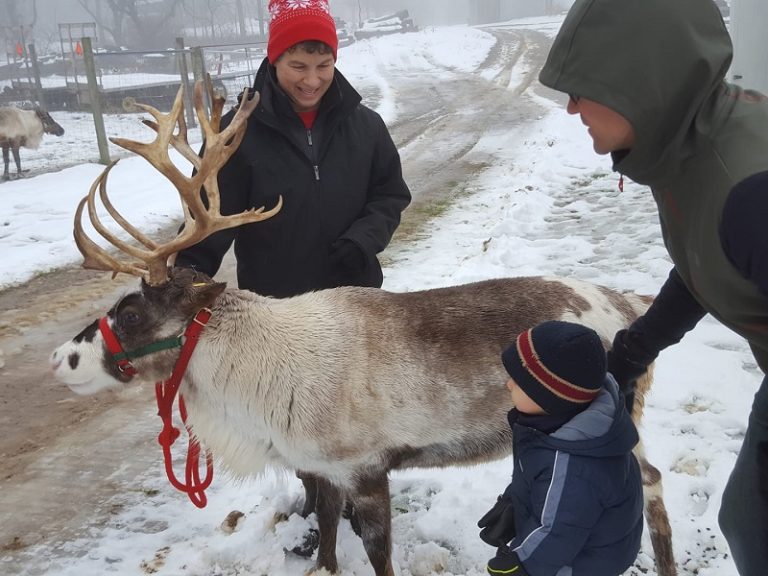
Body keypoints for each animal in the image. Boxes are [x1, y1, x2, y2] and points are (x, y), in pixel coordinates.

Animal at [49, 79, 677, 576]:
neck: (260, 369)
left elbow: (378, 553)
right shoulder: (323, 468)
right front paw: (324, 565)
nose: (58, 359)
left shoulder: (368, 470)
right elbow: (327, 524)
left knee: (651, 483)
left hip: (620, 421)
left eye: (133, 313)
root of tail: (627, 305)